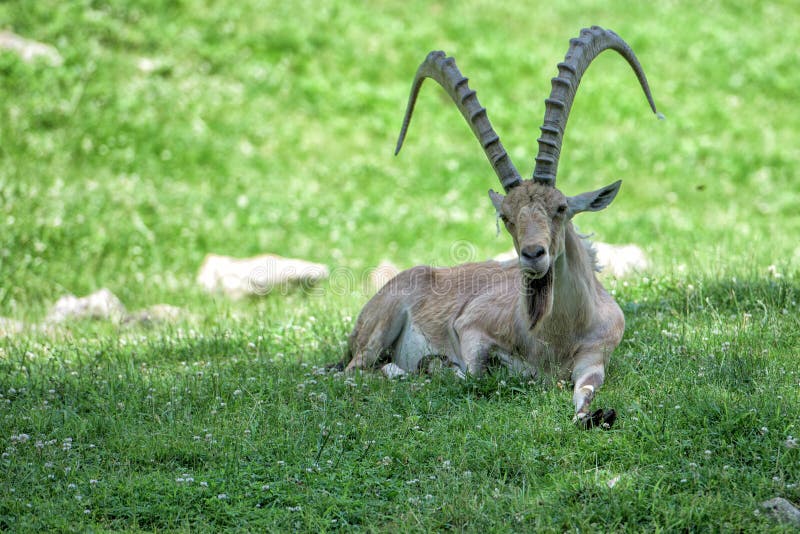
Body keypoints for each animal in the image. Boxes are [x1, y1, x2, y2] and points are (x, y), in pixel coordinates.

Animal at [341, 26, 661, 428]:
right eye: (507, 217)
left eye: (561, 208)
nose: (533, 254)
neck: (556, 336)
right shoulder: (470, 328)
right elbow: (473, 374)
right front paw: (436, 365)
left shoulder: (596, 354)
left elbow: (585, 390)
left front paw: (594, 415)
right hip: (382, 325)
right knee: (357, 371)